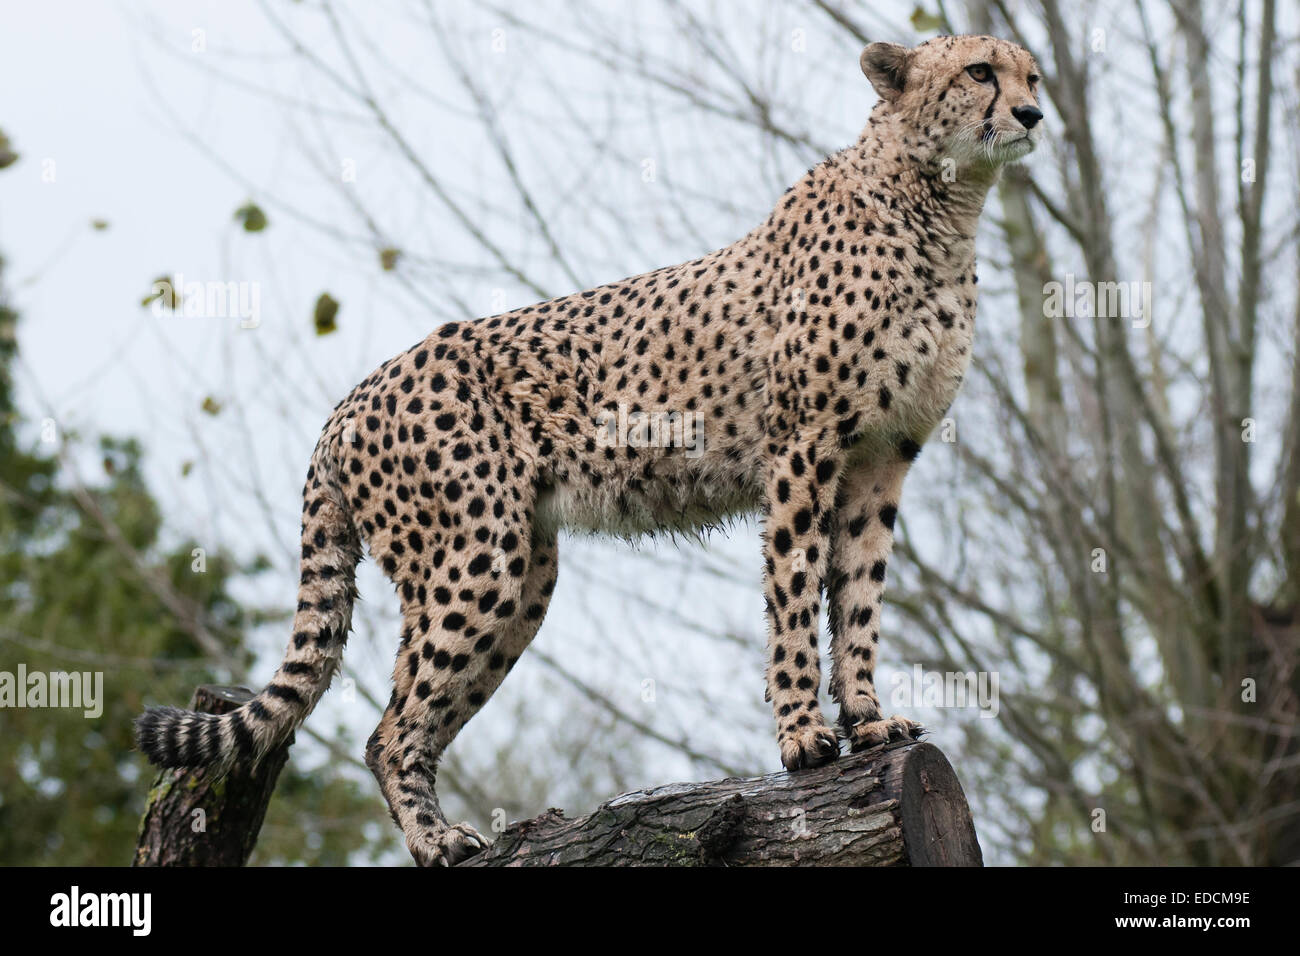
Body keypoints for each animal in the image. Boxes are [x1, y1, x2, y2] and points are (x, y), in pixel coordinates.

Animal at [137, 34, 1043, 866]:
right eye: (980, 73)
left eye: (1031, 74)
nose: (1034, 113)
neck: (939, 204)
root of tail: (348, 401)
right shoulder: (804, 446)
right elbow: (792, 596)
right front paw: (801, 738)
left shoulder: (882, 459)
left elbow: (858, 600)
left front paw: (869, 721)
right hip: (473, 556)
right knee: (387, 730)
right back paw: (437, 841)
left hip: (522, 572)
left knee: (408, 718)